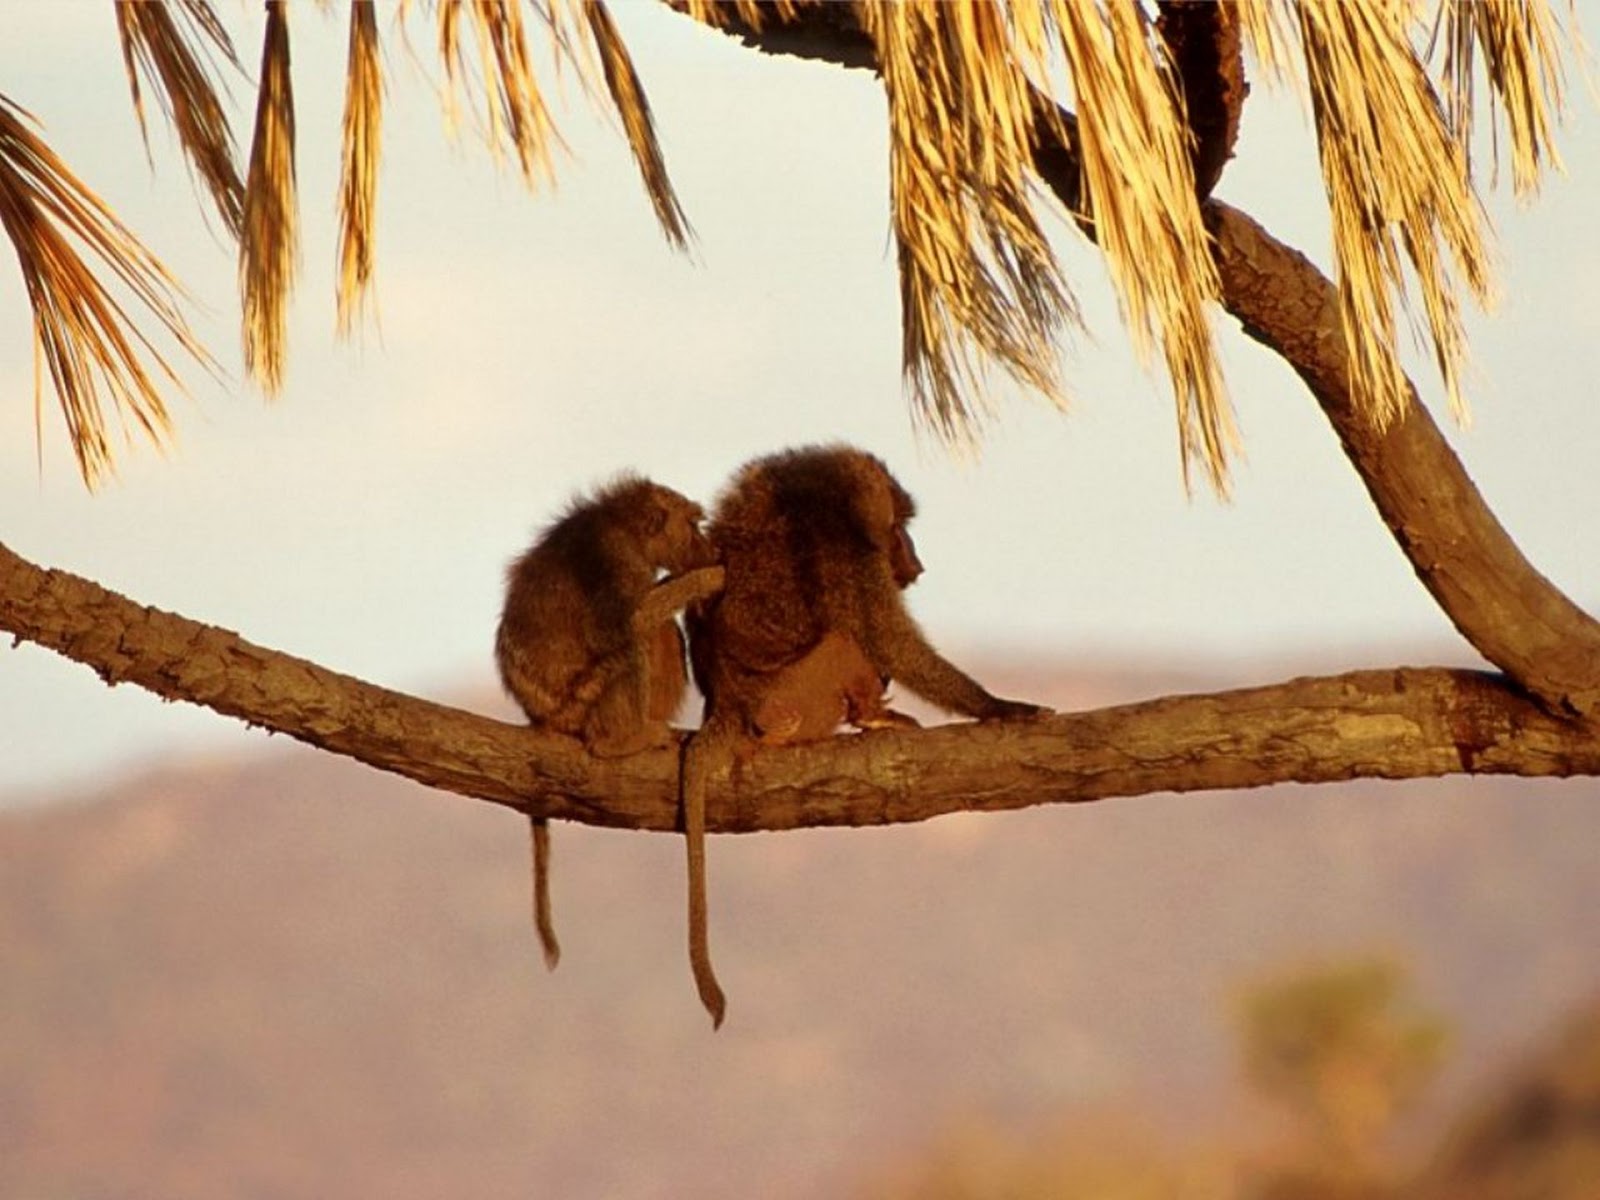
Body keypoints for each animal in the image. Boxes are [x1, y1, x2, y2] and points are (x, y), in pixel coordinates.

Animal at [495, 476, 721, 969]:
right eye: (693, 524)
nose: (707, 548)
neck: (623, 524)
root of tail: (540, 716)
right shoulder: (614, 562)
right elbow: (629, 623)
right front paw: (712, 579)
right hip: (583, 702)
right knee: (638, 638)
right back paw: (622, 741)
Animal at [678, 443, 1047, 1026]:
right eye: (900, 524)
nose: (916, 560)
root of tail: (729, 710)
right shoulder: (848, 555)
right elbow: (893, 643)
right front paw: (1000, 706)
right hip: (798, 700)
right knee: (847, 638)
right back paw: (874, 715)